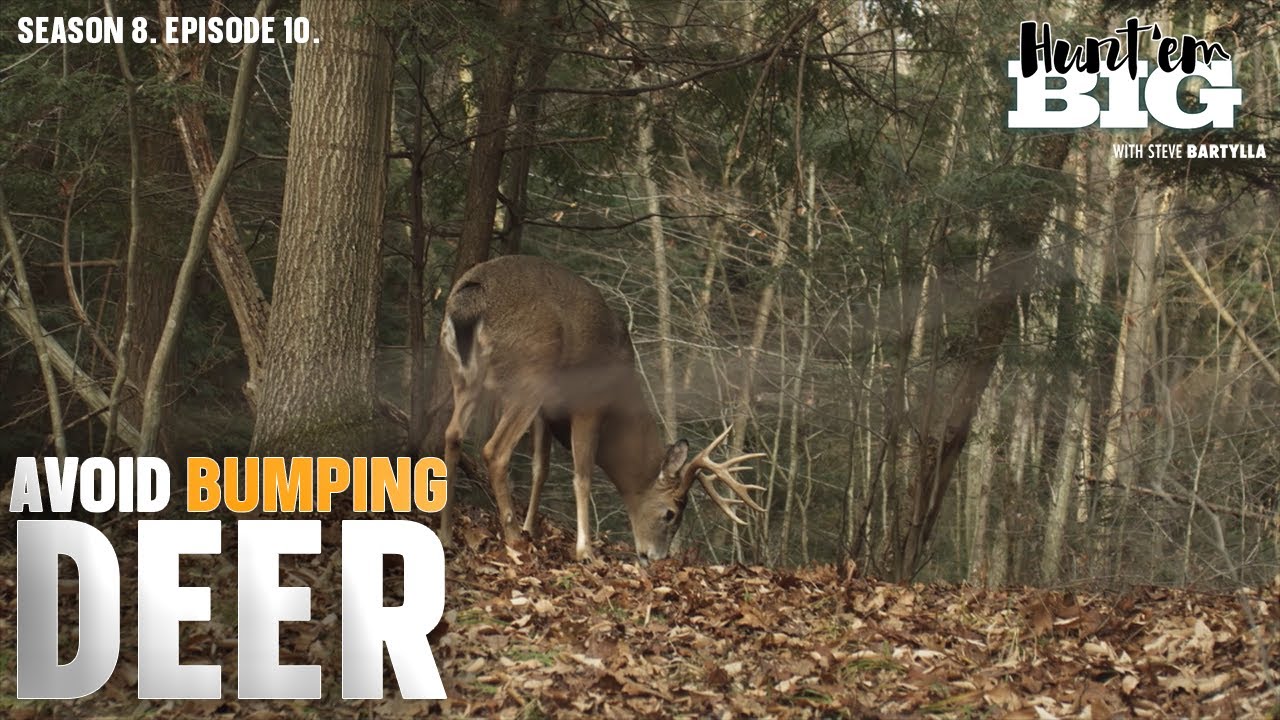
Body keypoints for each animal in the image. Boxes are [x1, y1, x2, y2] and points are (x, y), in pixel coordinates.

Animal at [436, 255, 765, 562]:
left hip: (463, 376)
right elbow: (583, 475)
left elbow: (540, 468)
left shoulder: (546, 412)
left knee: (452, 434)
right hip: (530, 373)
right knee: (495, 450)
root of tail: (470, 302)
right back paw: (514, 539)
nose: (655, 557)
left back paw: (447, 535)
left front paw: (532, 528)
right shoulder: (589, 403)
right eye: (671, 513)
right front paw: (585, 551)